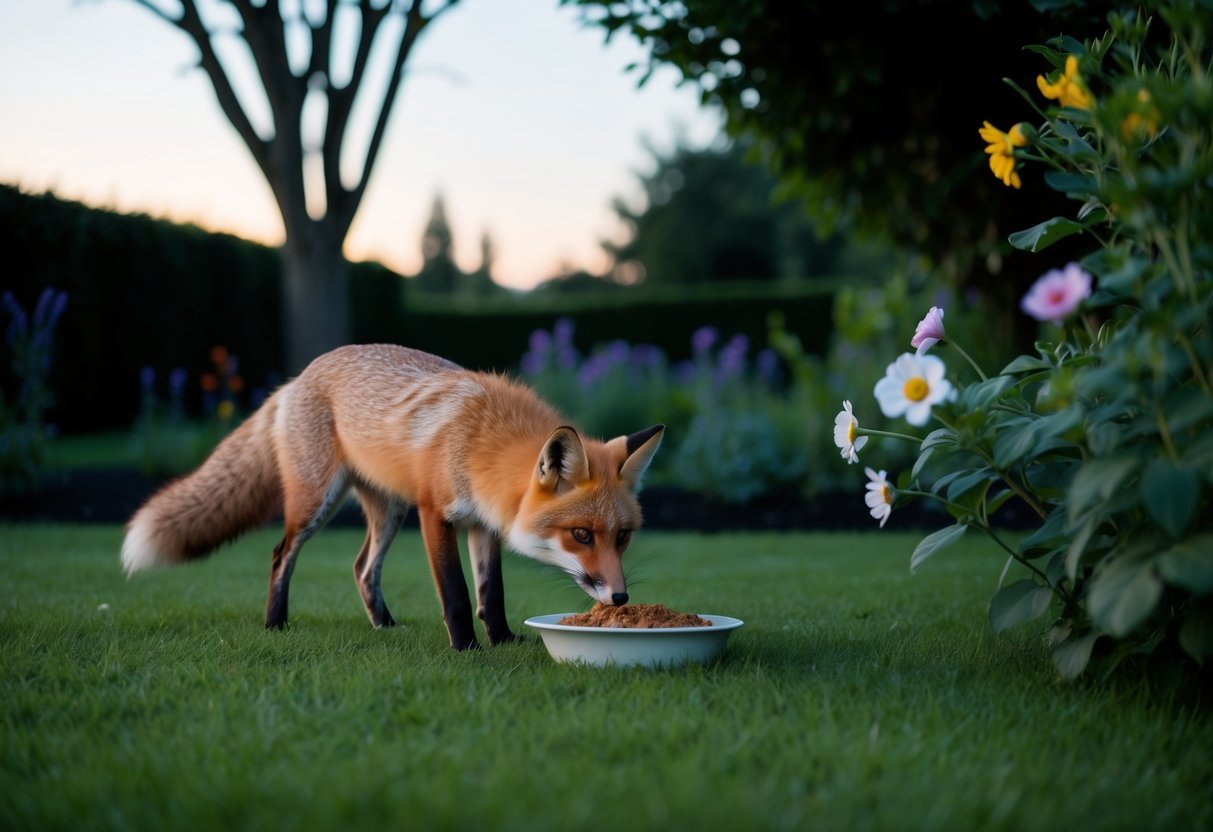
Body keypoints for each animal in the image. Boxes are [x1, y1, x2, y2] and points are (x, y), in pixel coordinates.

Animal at [121, 343, 664, 650]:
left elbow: (492, 592)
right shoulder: (434, 513)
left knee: (362, 567)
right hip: (319, 503)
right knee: (280, 554)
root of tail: (298, 378)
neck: (479, 442)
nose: (621, 598)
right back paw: (275, 623)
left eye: (623, 537)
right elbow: (457, 594)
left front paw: (504, 640)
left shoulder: (483, 522)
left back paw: (384, 626)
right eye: (581, 535)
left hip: (388, 511)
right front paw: (468, 649)